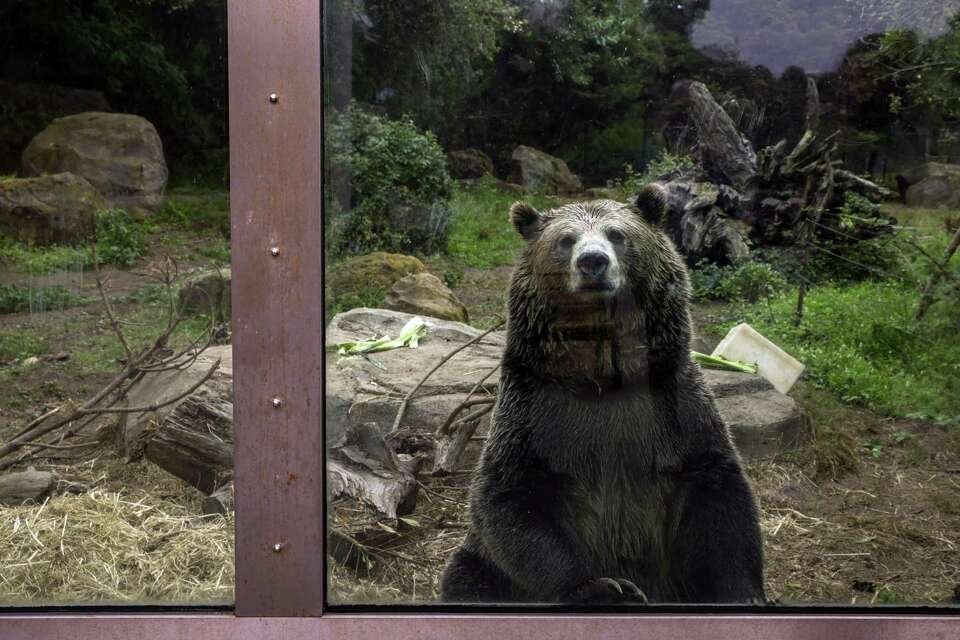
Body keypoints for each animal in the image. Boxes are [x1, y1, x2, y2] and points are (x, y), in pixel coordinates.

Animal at [439, 184, 765, 604]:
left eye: (616, 234)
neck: (603, 379)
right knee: (468, 577)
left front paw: (743, 593)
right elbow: (512, 499)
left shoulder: (674, 402)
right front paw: (607, 587)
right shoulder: (533, 410)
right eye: (566, 239)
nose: (592, 261)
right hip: (485, 566)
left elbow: (718, 493)